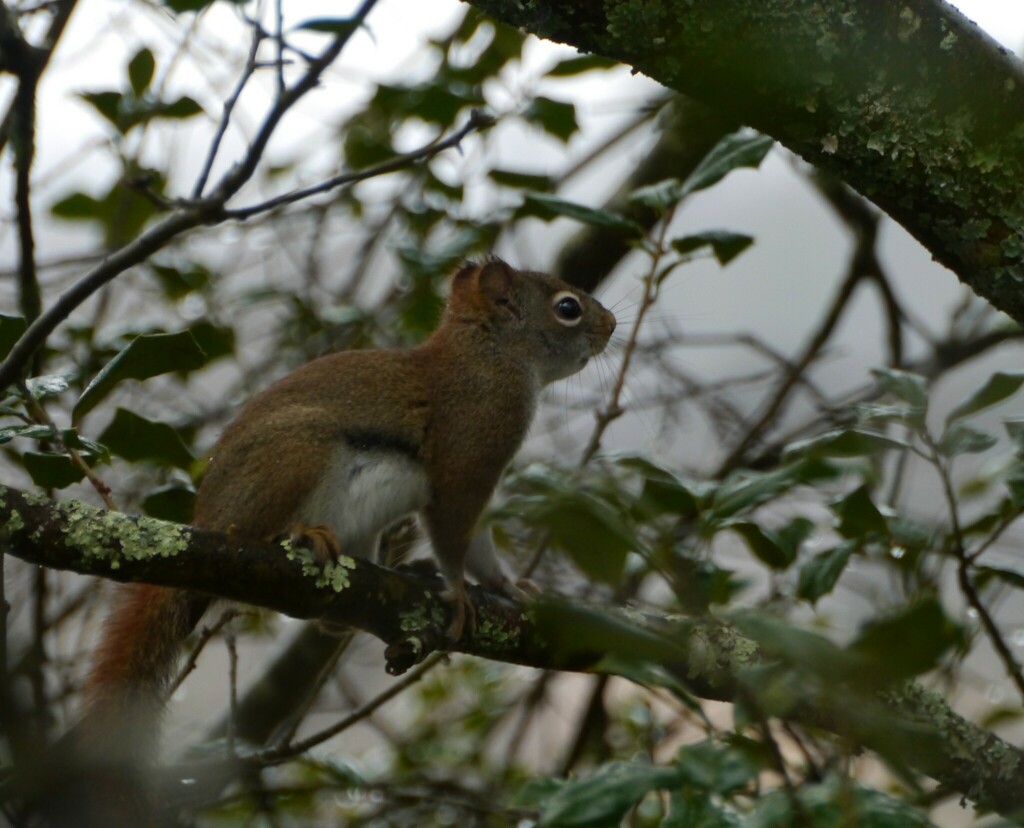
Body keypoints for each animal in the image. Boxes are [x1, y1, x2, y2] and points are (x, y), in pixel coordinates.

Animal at [70, 258, 615, 822]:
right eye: (568, 308)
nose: (613, 325)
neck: (490, 356)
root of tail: (207, 522)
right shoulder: (468, 458)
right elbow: (454, 535)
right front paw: (461, 592)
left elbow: (480, 547)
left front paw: (506, 586)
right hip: (296, 456)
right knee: (255, 532)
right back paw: (302, 535)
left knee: (331, 616)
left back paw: (402, 572)